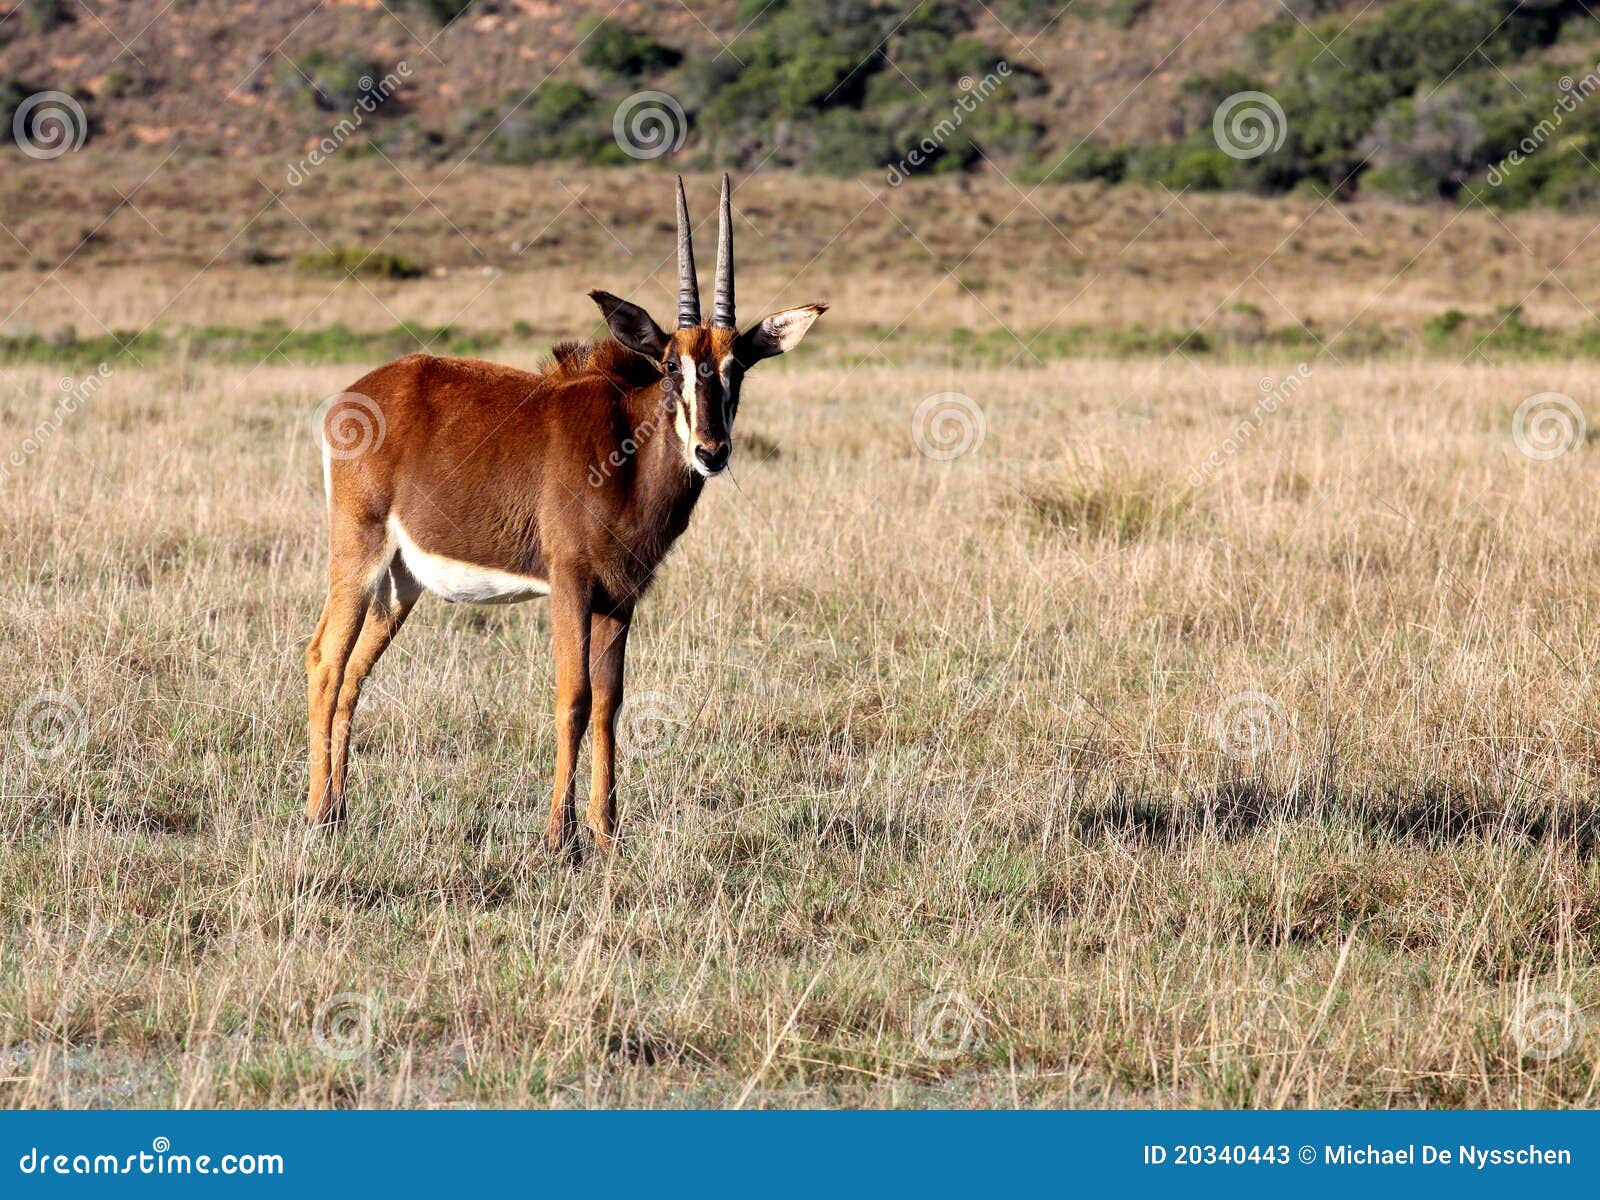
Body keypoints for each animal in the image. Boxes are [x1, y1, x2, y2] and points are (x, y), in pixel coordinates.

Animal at [306, 175, 824, 855]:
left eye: (739, 366)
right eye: (672, 365)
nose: (712, 452)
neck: (625, 446)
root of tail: (354, 395)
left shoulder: (621, 596)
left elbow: (609, 703)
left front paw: (607, 832)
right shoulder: (570, 584)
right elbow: (573, 696)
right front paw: (560, 835)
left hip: (400, 583)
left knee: (353, 677)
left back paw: (340, 811)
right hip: (357, 558)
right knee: (324, 661)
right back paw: (316, 813)